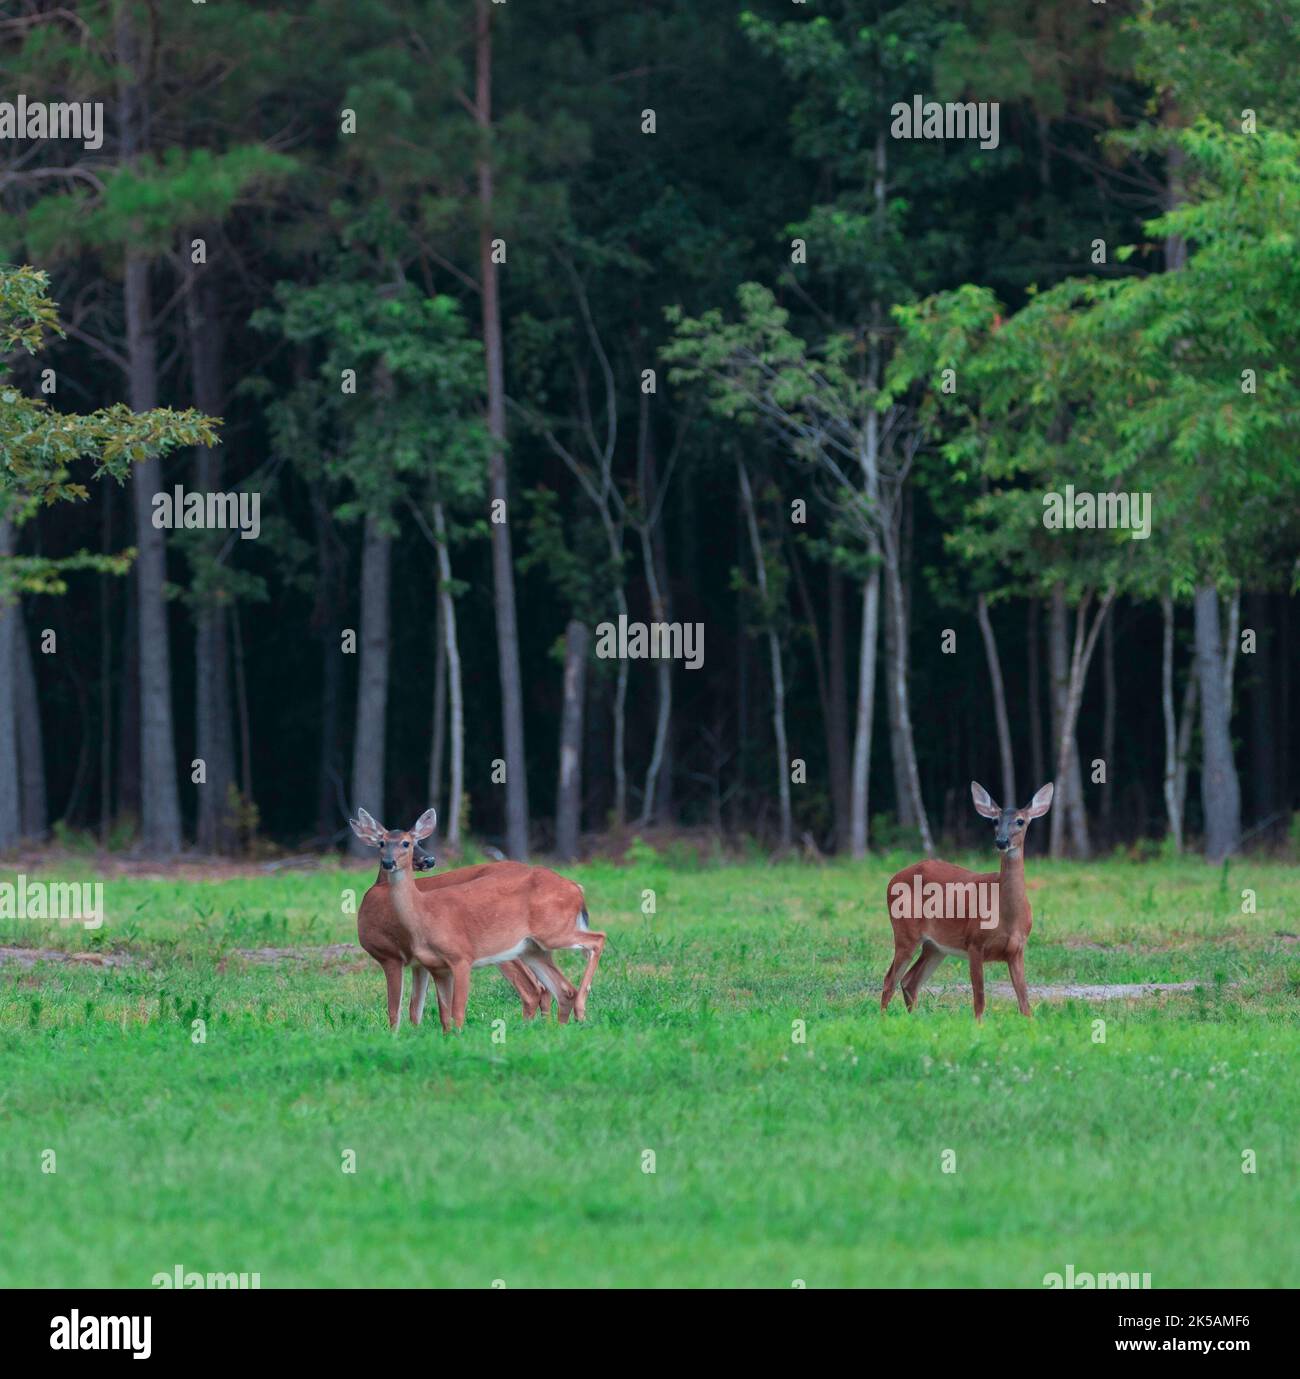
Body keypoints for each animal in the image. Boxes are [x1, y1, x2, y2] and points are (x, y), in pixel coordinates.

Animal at [349, 807, 606, 1032]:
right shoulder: (421, 964)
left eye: (413, 841)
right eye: (381, 843)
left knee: (541, 984)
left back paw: (575, 1013)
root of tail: (576, 887)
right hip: (531, 947)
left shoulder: (390, 955)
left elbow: (396, 1010)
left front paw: (396, 1036)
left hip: (528, 942)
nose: (429, 859)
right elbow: (417, 1009)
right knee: (551, 988)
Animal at [881, 781, 1053, 1020]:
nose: (1001, 841)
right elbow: (979, 999)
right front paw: (979, 1026)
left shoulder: (1017, 949)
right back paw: (883, 1020)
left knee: (909, 981)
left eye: (1020, 821)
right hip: (905, 932)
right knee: (890, 979)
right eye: (995, 820)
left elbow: (1024, 1003)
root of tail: (892, 879)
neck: (1006, 917)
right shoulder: (974, 942)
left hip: (935, 946)